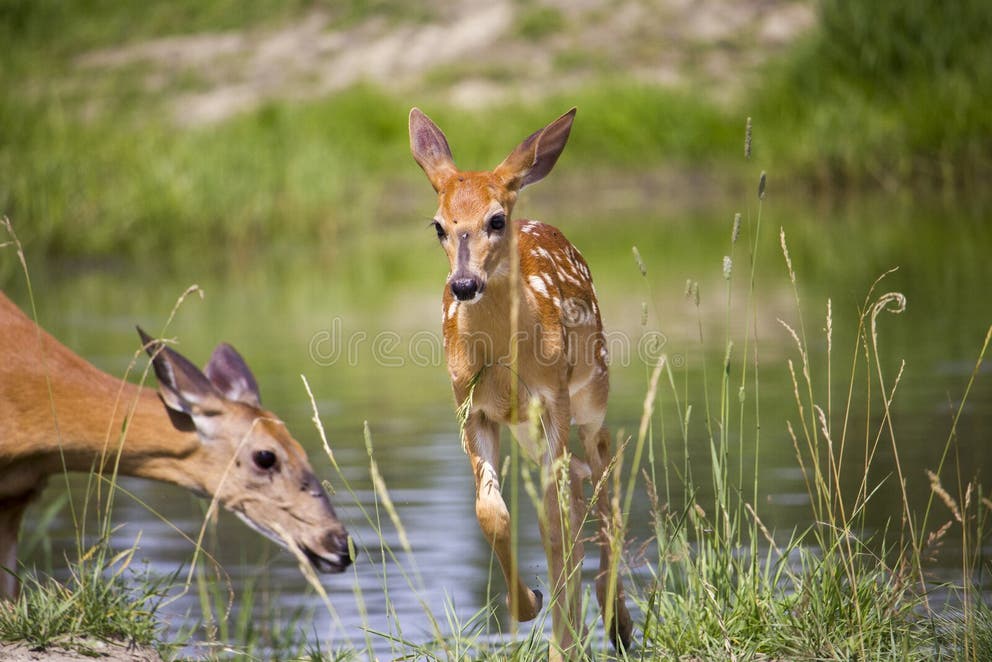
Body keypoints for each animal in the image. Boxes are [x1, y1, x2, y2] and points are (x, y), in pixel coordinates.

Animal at [409, 107, 633, 658]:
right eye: (439, 226)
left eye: (496, 219)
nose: (464, 285)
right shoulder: (470, 408)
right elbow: (492, 513)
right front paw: (527, 603)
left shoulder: (552, 400)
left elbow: (553, 524)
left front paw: (561, 643)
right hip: (529, 429)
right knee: (578, 484)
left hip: (591, 390)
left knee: (600, 467)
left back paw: (616, 621)